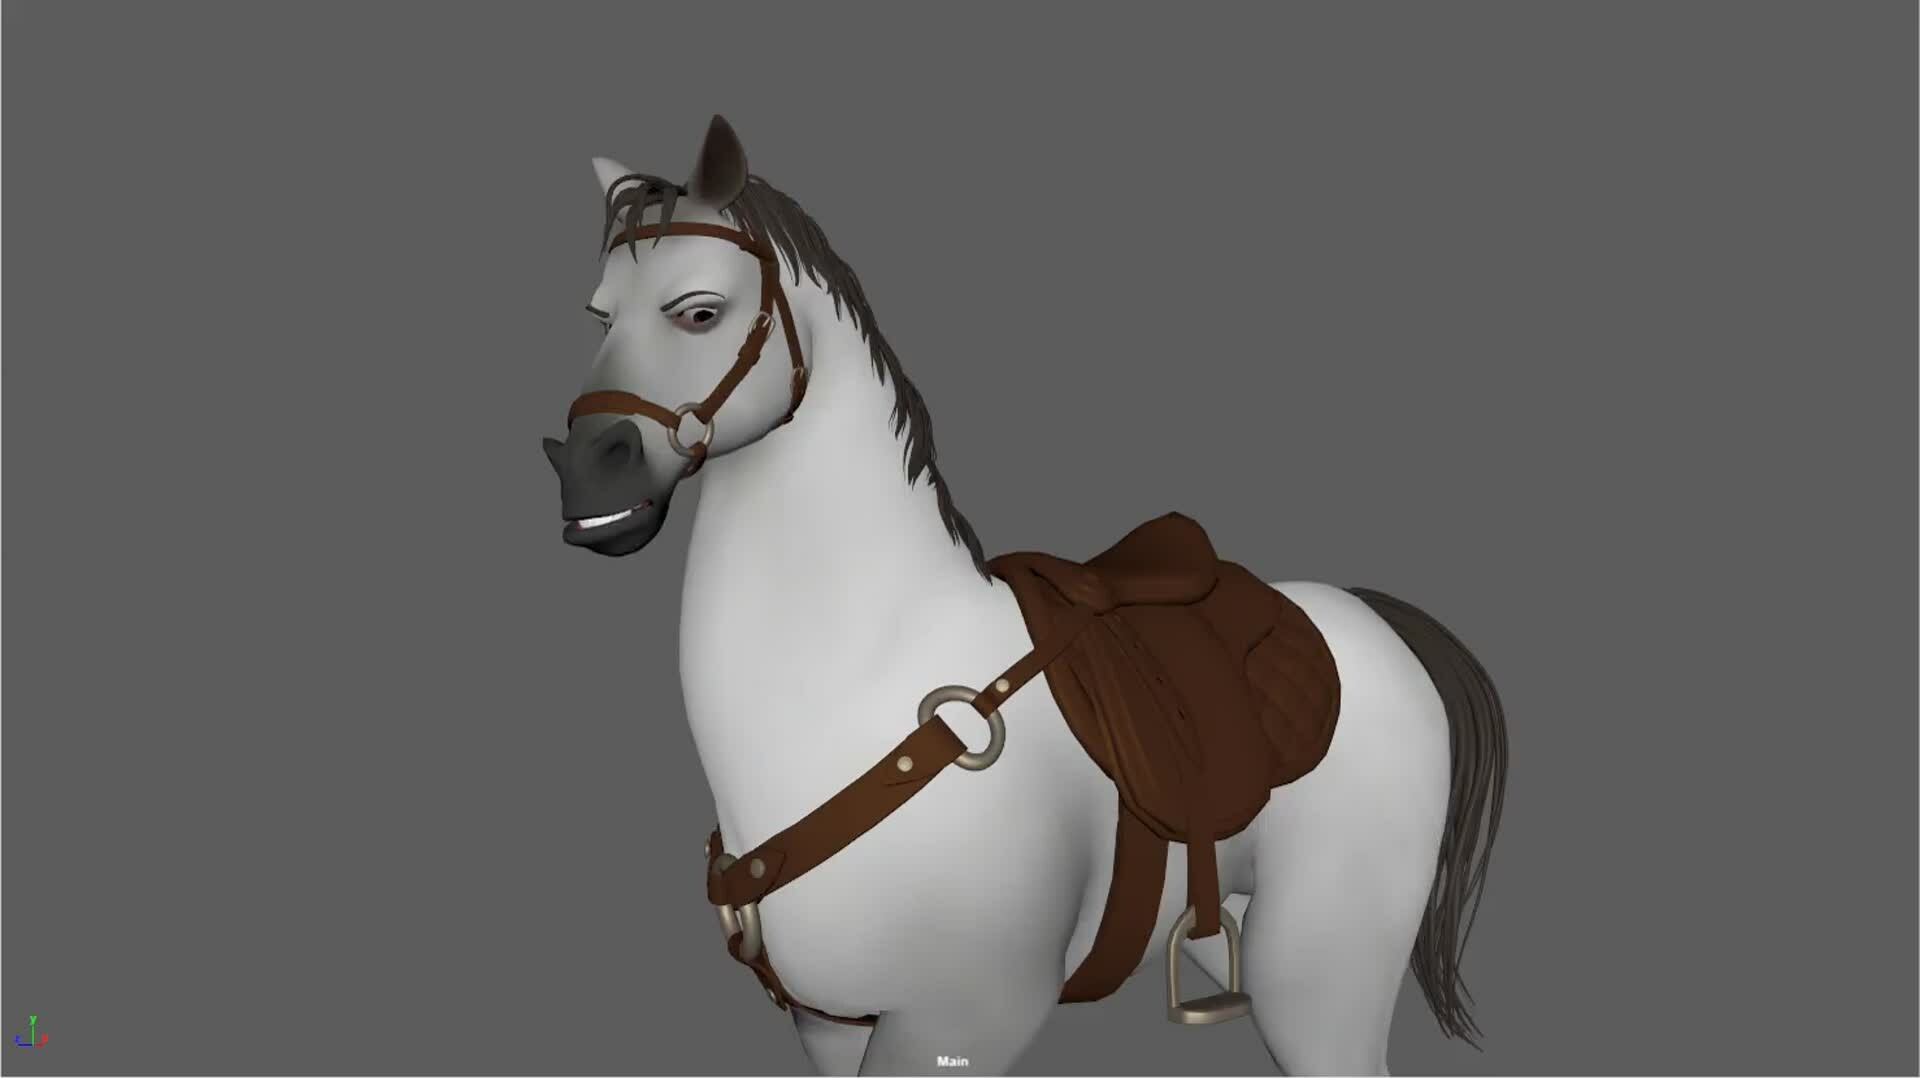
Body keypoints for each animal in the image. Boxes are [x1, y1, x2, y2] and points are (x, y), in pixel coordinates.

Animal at [541, 115, 1508, 1077]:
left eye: (699, 311)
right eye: (599, 314)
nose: (586, 475)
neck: (862, 674)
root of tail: (1375, 617)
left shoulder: (961, 1023)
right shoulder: (829, 1026)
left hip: (1320, 974)